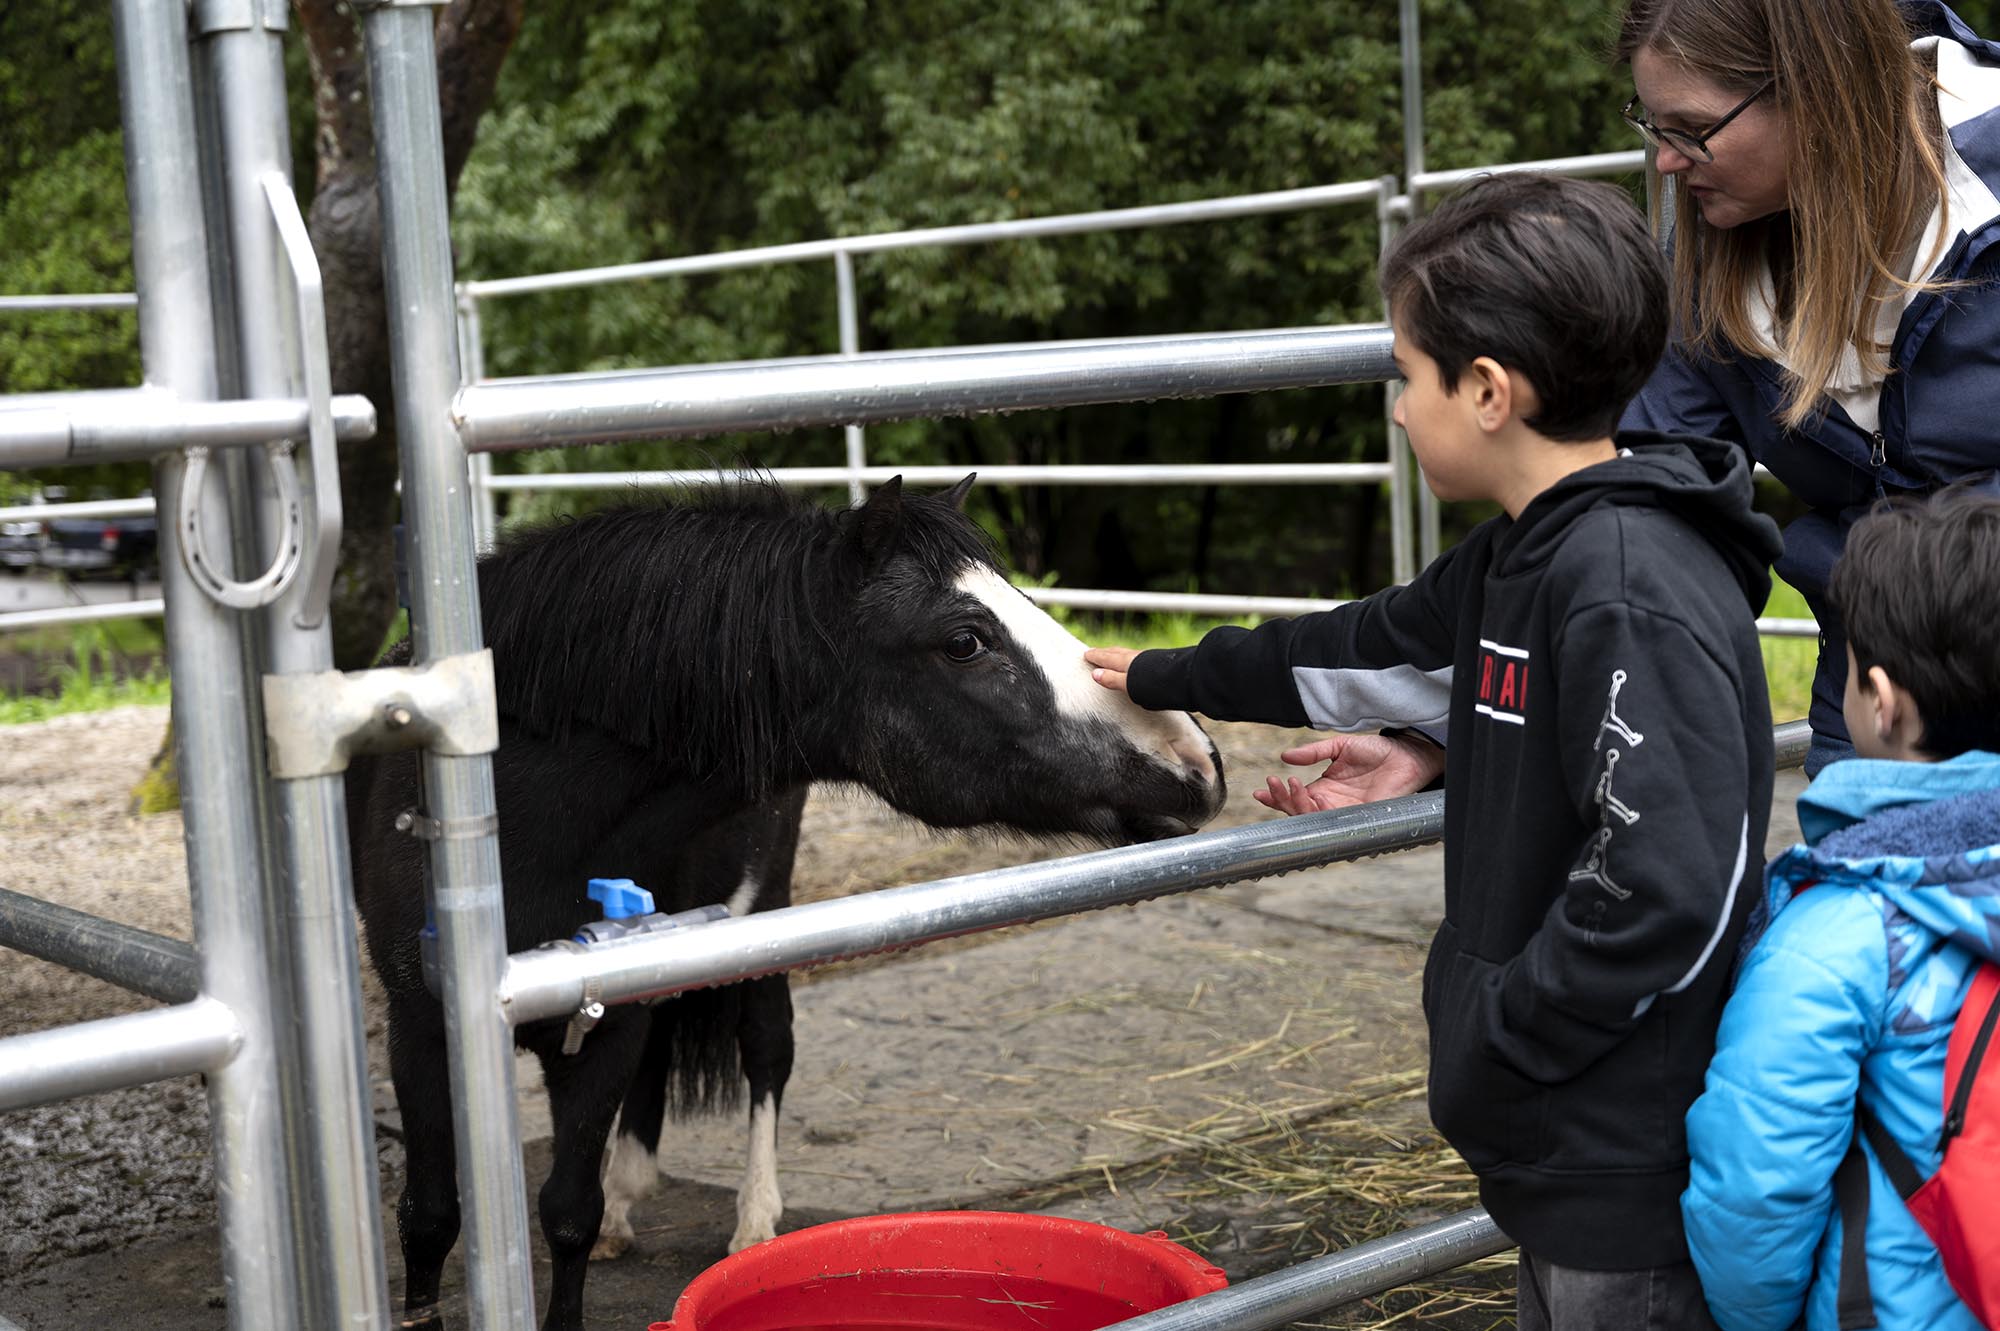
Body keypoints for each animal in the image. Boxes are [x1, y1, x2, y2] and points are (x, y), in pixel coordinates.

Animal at [345, 476, 1227, 1331]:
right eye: (965, 639)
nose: (1198, 761)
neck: (515, 815)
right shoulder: (423, 1026)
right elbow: (430, 1216)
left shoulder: (605, 1026)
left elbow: (567, 1213)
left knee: (766, 1048)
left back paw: (753, 1221)